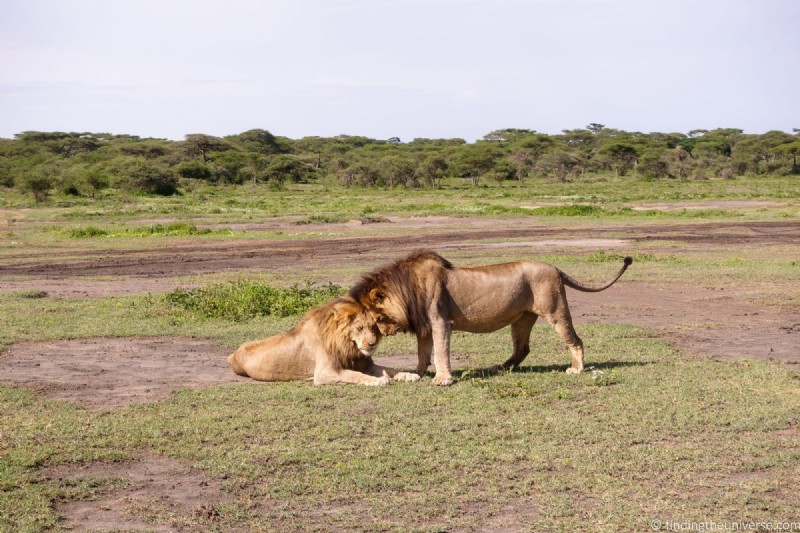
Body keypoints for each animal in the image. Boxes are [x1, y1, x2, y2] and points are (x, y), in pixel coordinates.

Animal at [227, 296, 418, 386]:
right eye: (359, 328)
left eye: (373, 328)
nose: (372, 344)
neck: (347, 346)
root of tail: (233, 354)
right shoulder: (325, 372)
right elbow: (353, 375)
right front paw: (377, 380)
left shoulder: (364, 364)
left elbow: (391, 369)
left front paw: (409, 375)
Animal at [348, 249, 632, 382]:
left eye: (377, 319)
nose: (382, 335)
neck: (406, 289)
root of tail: (555, 268)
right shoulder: (425, 326)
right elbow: (422, 353)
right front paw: (417, 374)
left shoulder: (440, 321)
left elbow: (440, 351)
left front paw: (443, 379)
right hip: (522, 319)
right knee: (522, 348)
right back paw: (500, 368)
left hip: (555, 309)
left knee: (575, 340)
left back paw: (576, 369)